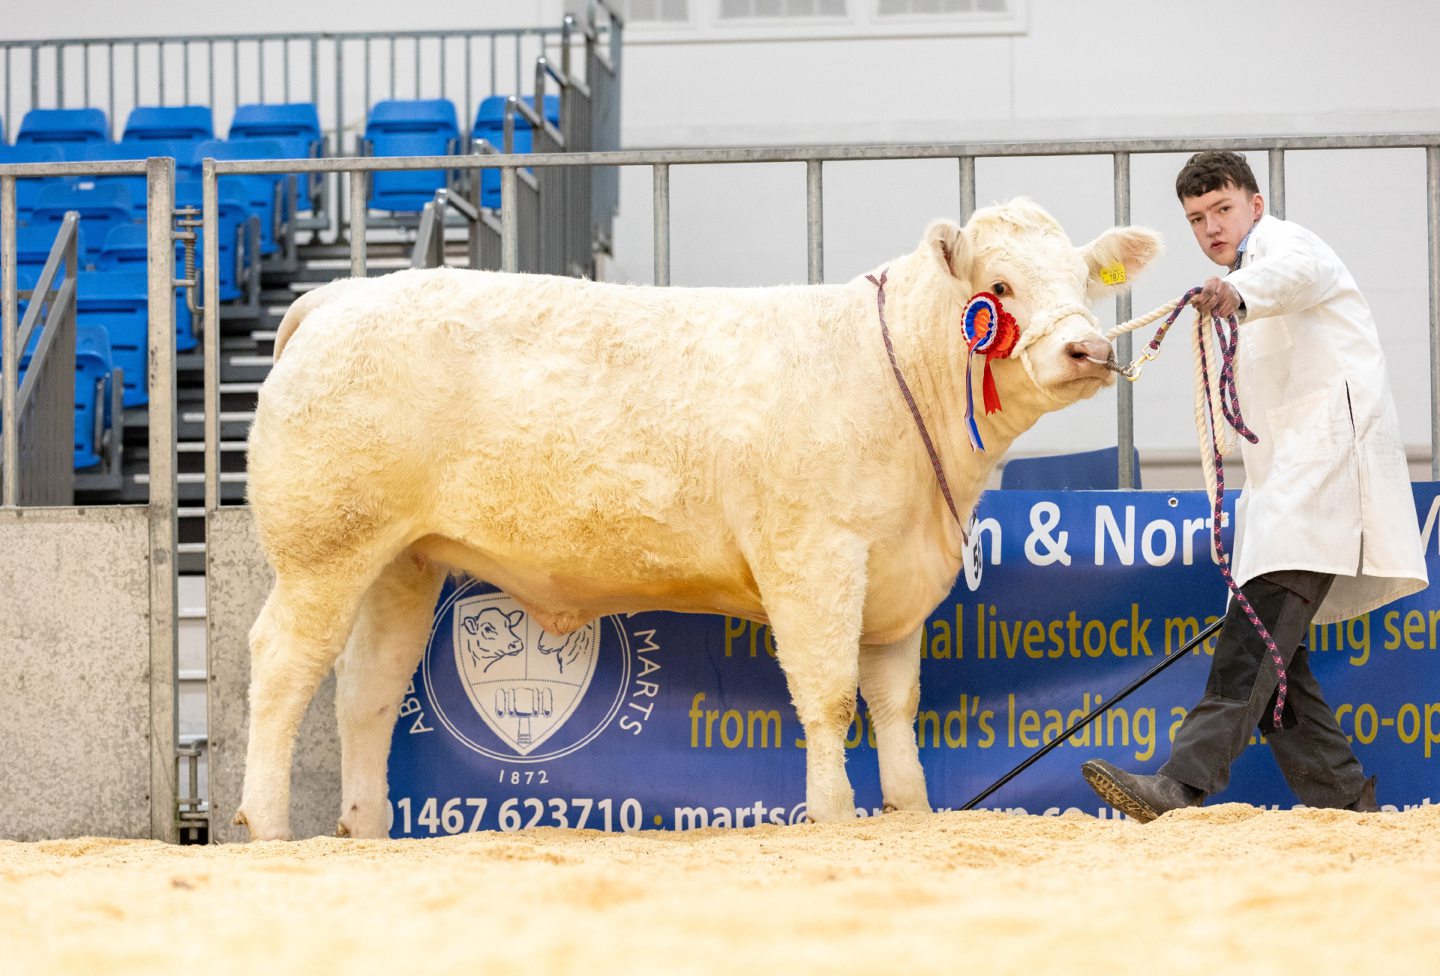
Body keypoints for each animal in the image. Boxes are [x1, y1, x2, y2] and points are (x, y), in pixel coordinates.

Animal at [235, 198, 1162, 840]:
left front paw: (909, 811)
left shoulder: (897, 580)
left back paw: (365, 828)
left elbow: (895, 705)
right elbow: (829, 698)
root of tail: (339, 297)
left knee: (368, 687)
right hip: (324, 546)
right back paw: (268, 824)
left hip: (404, 558)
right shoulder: (814, 558)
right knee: (282, 664)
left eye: (1084, 282)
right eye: (999, 288)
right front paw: (832, 814)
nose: (1089, 349)